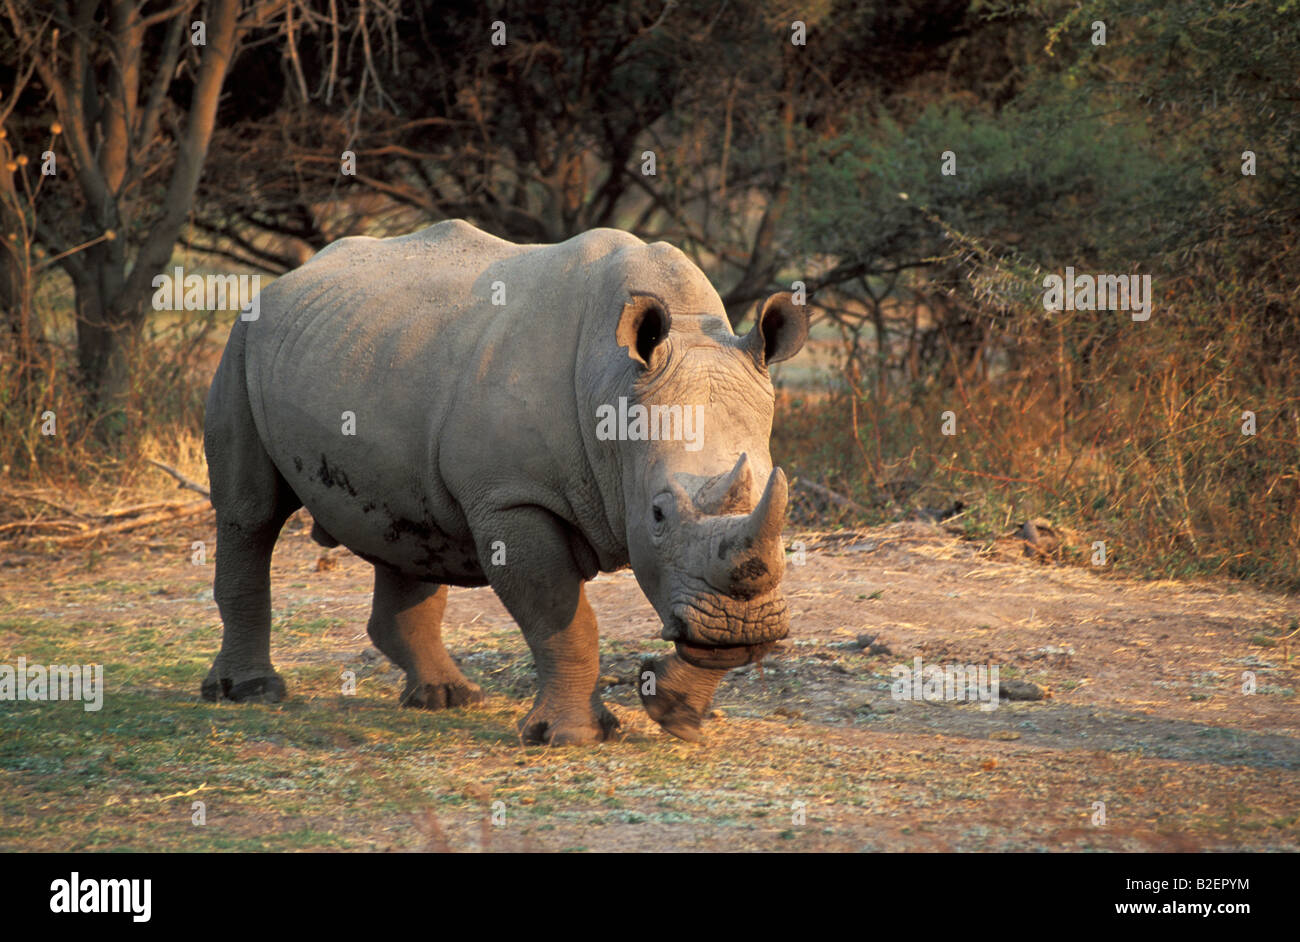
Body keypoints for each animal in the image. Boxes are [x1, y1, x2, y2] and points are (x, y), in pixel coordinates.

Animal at [202, 219, 808, 744]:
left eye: (783, 510)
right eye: (657, 515)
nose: (743, 624)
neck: (615, 387)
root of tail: (292, 277)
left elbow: (693, 629)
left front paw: (675, 710)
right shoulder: (512, 496)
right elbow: (562, 617)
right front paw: (569, 738)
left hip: (373, 348)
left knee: (406, 529)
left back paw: (447, 699)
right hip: (242, 340)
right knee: (249, 516)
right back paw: (250, 692)